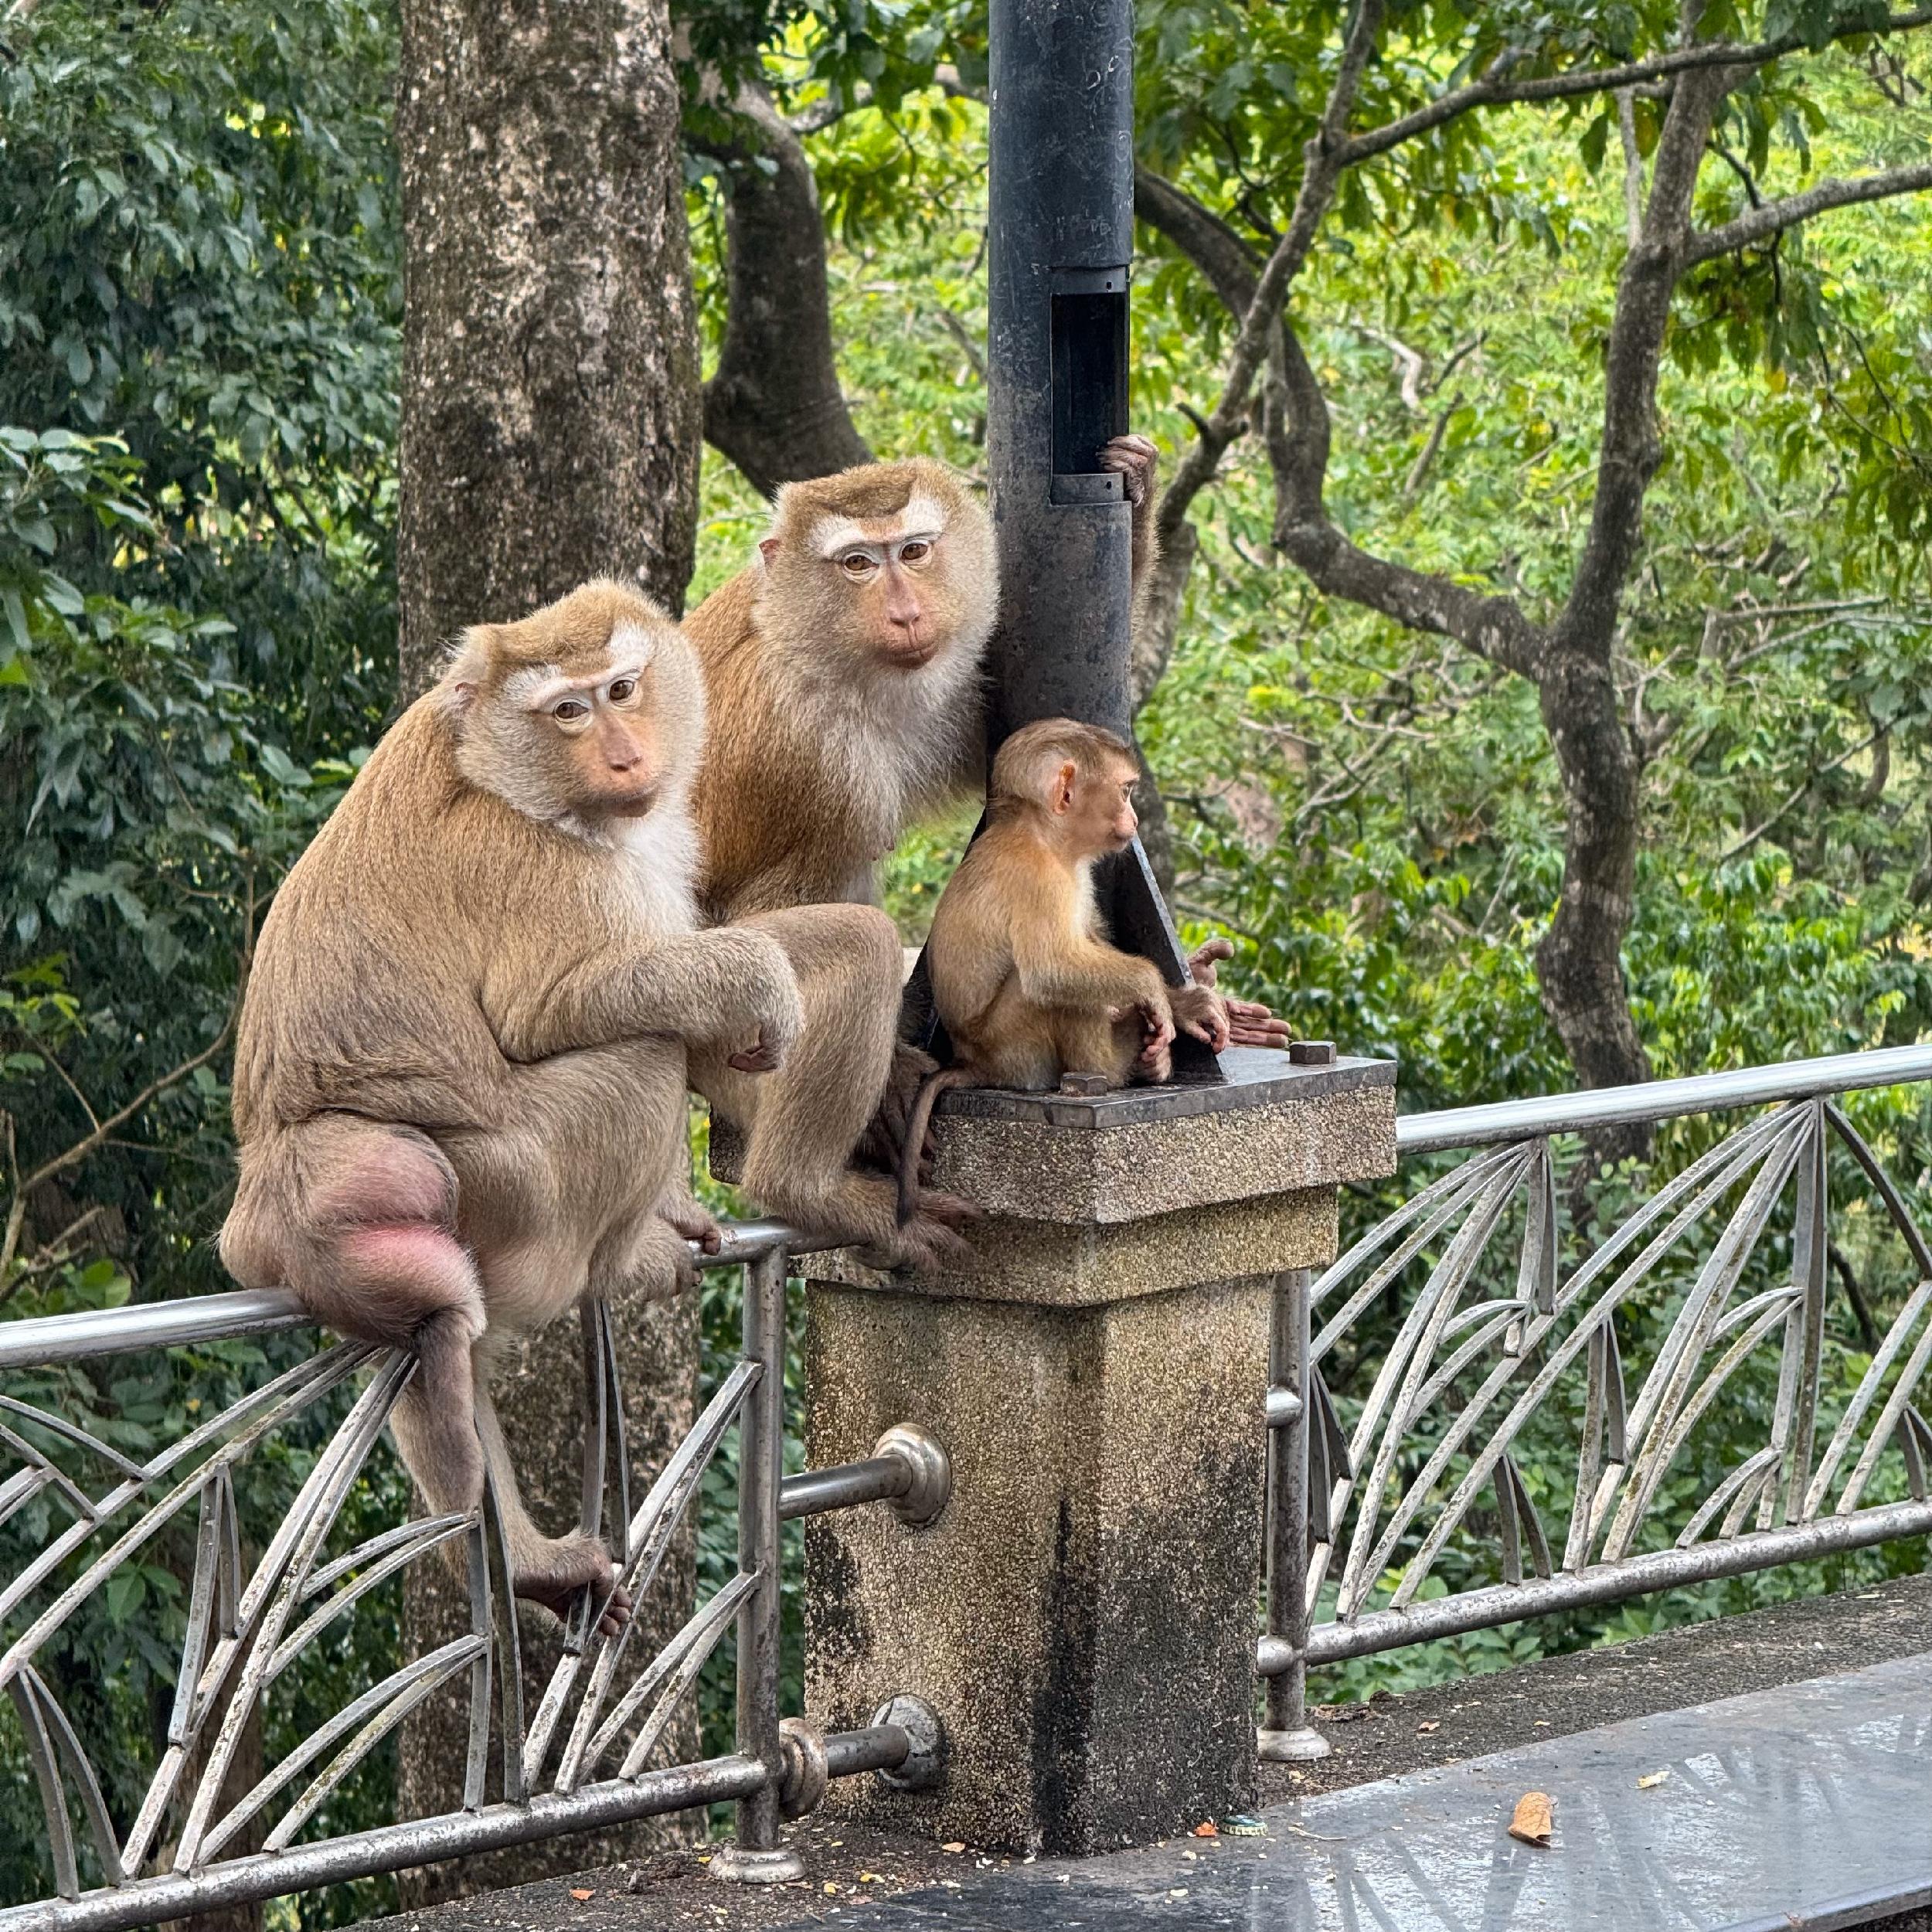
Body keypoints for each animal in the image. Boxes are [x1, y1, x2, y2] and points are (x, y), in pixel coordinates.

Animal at [896, 719, 1229, 1213]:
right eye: (1125, 792)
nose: (1133, 821)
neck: (1047, 838)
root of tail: (974, 1062)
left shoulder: (1078, 872)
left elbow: (1087, 938)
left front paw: (1186, 1005)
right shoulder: (1039, 879)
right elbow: (1053, 970)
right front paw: (1154, 991)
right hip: (1016, 1050)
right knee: (1051, 994)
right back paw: (1116, 1065)